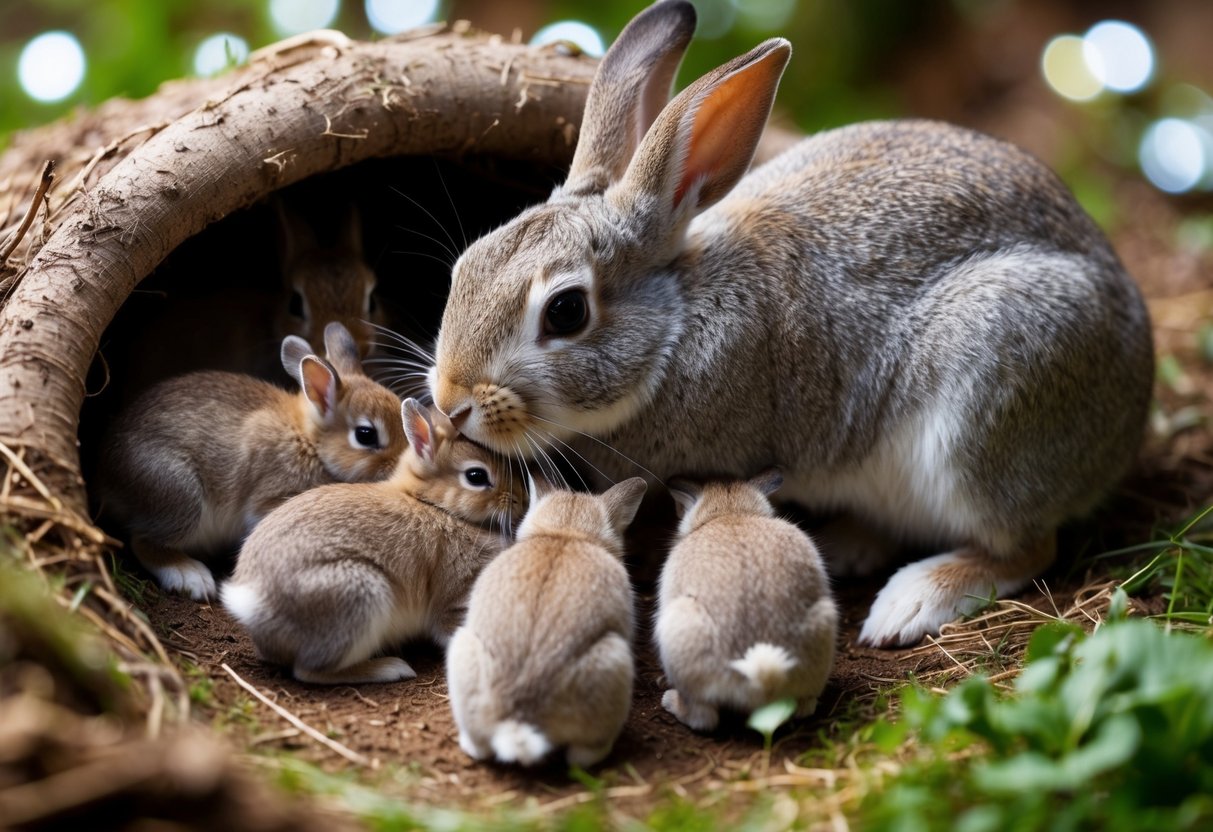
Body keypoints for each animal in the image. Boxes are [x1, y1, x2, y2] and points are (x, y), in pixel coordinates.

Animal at [101, 322, 406, 601]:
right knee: (143, 541)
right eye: (366, 435)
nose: (400, 467)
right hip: (180, 495)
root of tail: (106, 475)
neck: (311, 443)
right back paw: (191, 577)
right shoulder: (270, 497)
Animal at [222, 399, 524, 685]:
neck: (436, 506)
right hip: (361, 595)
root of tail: (251, 600)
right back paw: (390, 669)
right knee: (309, 671)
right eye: (476, 476)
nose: (520, 500)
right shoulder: (453, 597)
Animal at [424, 0, 1154, 648]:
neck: (676, 323)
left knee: (1027, 544)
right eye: (465, 265)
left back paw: (912, 601)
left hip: (994, 390)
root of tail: (1131, 414)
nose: (451, 401)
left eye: (566, 311)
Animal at [656, 469, 837, 732]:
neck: (732, 512)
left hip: (678, 623)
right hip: (824, 619)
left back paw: (670, 700)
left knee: (704, 718)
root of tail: (763, 681)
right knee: (805, 706)